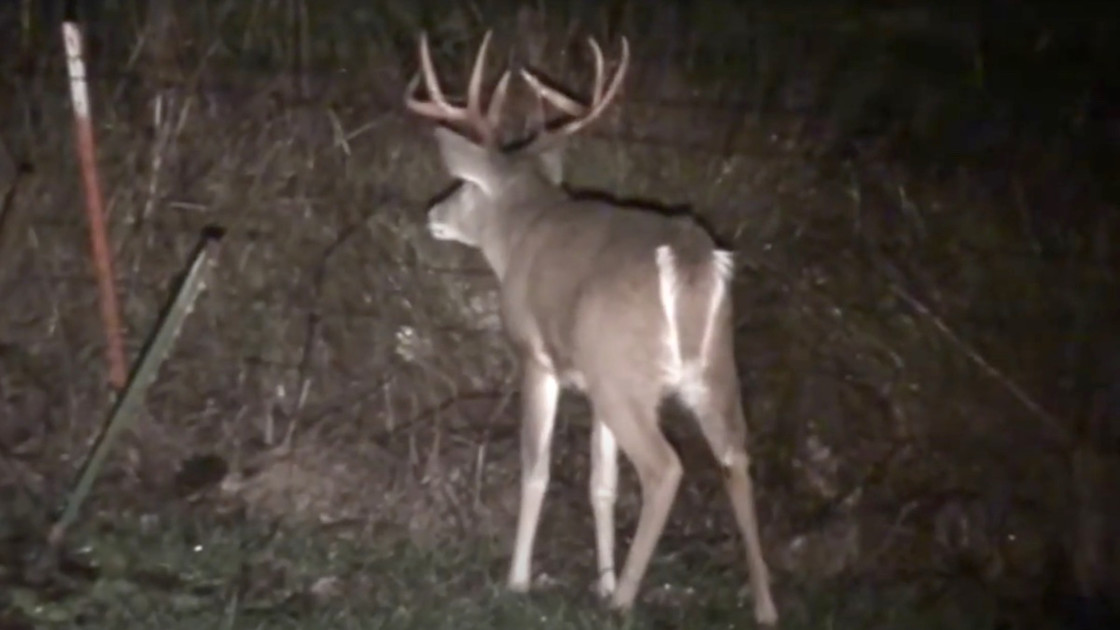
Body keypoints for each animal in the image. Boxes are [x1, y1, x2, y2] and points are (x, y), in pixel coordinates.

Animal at [403, 29, 779, 626]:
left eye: (462, 185)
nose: (433, 214)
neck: (521, 230)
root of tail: (690, 261)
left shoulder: (537, 356)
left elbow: (536, 466)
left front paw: (519, 582)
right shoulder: (592, 376)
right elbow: (601, 484)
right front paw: (599, 582)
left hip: (627, 376)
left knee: (665, 468)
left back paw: (626, 600)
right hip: (708, 368)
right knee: (736, 459)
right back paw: (764, 607)